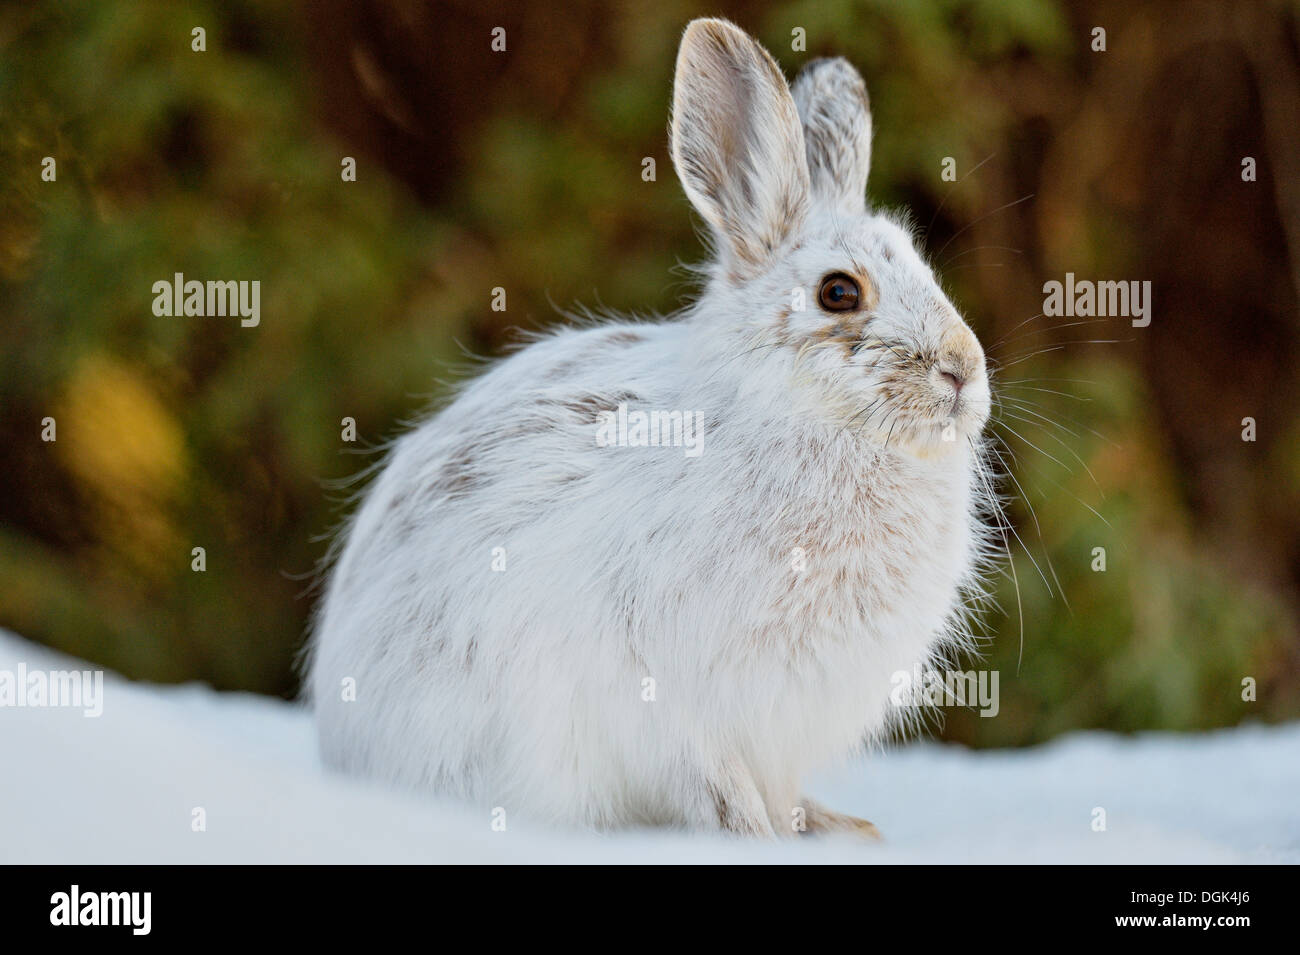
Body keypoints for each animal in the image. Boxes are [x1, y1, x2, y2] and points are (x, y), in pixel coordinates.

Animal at [306, 17, 997, 839]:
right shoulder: (673, 695)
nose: (963, 372)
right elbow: (712, 778)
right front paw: (753, 833)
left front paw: (827, 828)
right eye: (839, 293)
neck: (795, 417)